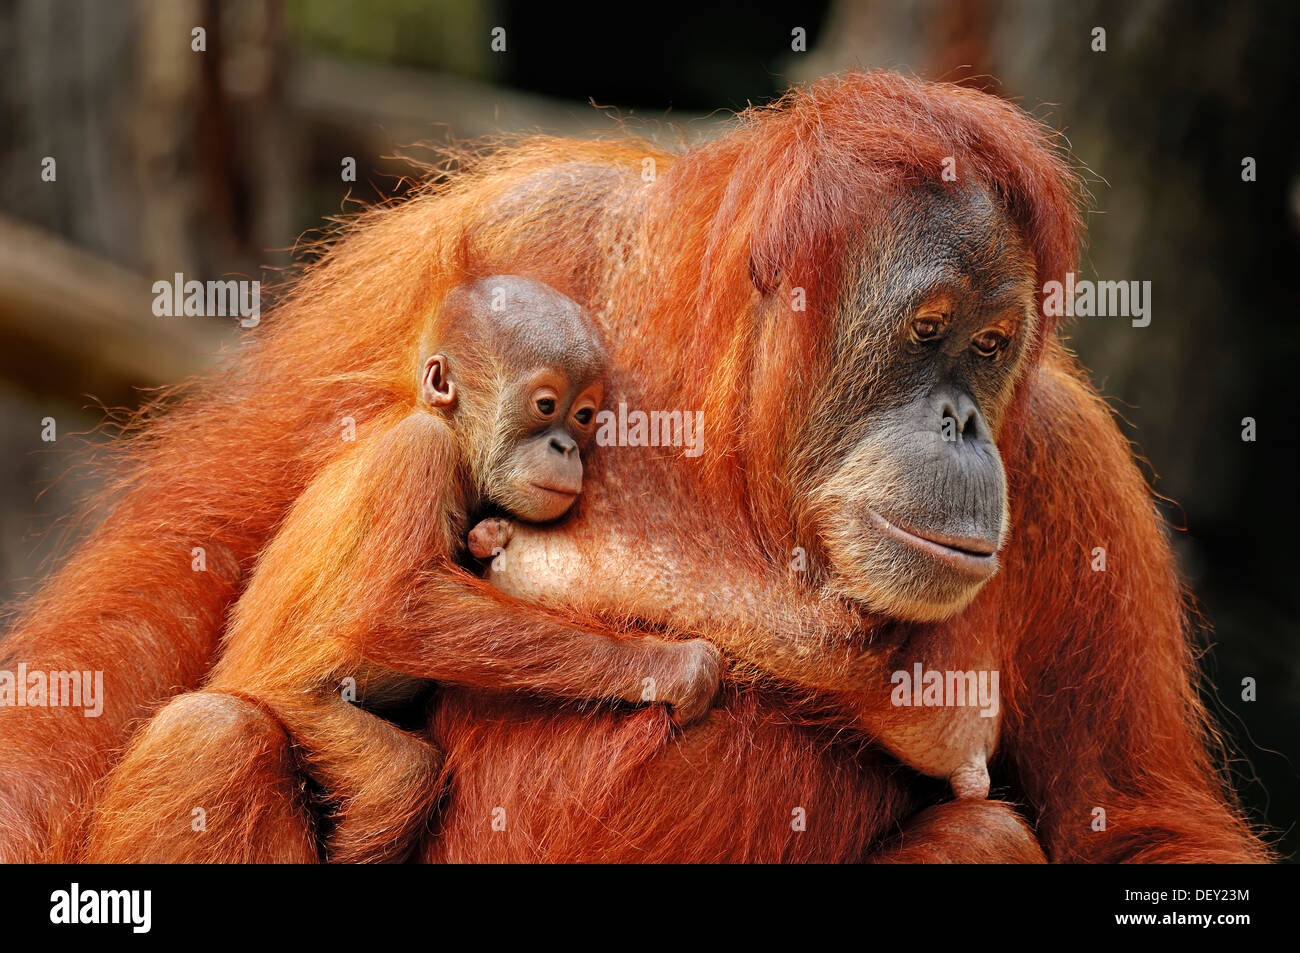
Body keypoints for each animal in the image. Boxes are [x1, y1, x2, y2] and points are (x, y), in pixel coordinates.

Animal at [181, 275, 722, 863]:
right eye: (546, 405)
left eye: (582, 416)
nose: (565, 447)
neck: (454, 440)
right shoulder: (422, 448)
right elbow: (399, 607)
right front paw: (670, 666)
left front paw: (492, 537)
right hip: (299, 708)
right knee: (400, 772)